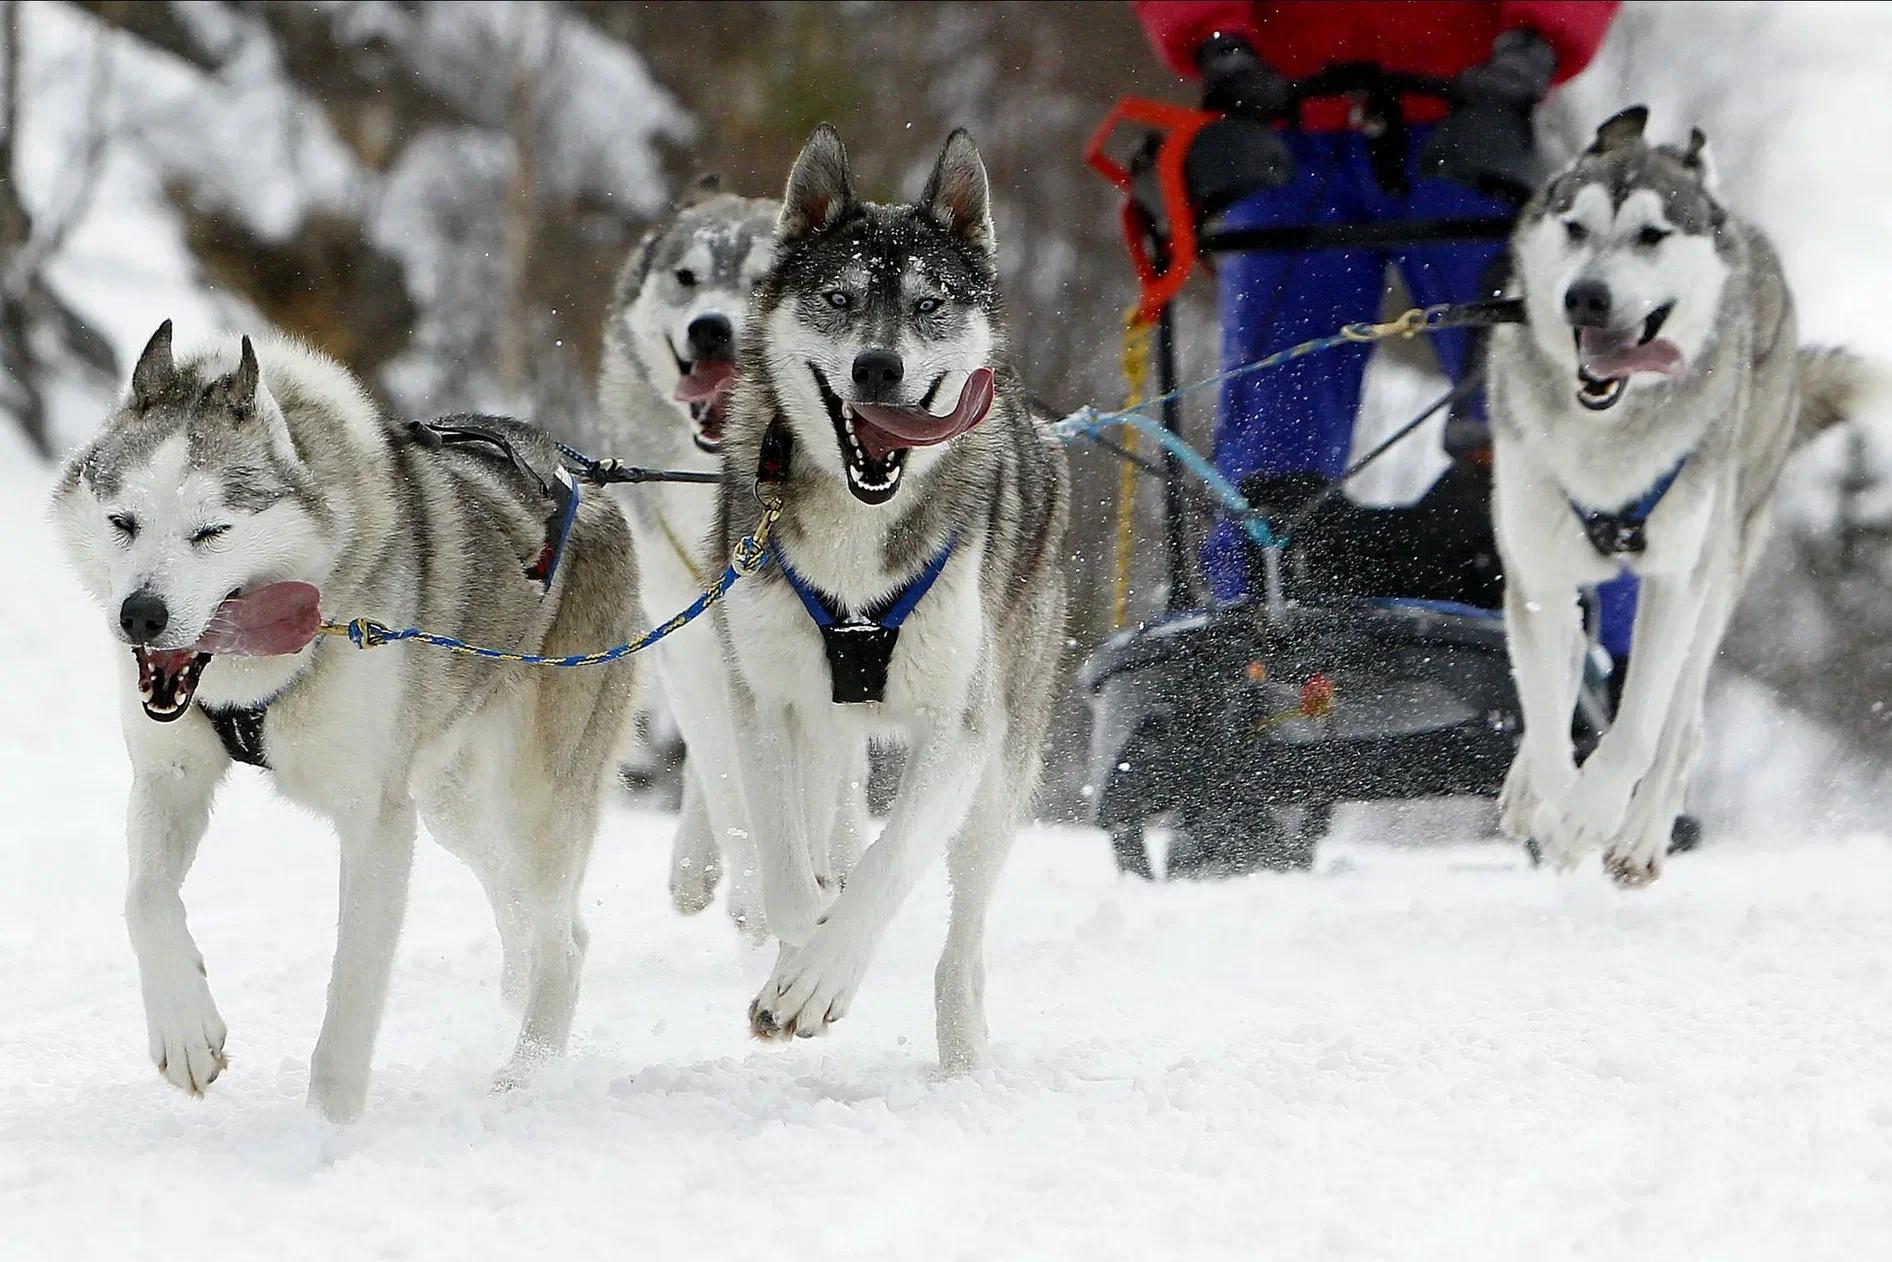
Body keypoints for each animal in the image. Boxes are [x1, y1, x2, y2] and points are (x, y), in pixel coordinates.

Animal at [51, 323, 639, 1112]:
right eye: (124, 521)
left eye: (211, 531)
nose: (140, 615)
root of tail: (593, 489)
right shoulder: (167, 777)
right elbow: (144, 900)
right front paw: (186, 1034)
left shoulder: (375, 819)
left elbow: (352, 988)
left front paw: (329, 1127)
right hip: (453, 806)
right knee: (530, 917)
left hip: (531, 801)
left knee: (564, 941)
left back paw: (529, 1072)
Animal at [711, 128, 1067, 1074]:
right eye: (839, 298)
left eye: (929, 302)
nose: (879, 365)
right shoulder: (761, 699)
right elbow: (790, 872)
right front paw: (804, 943)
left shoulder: (960, 727)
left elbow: (891, 862)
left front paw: (821, 976)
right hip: (825, 725)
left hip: (1002, 772)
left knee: (963, 932)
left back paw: (963, 1049)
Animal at [1490, 108, 1876, 885]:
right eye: (1574, 228)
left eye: (1651, 234)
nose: (1585, 295)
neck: (1606, 434)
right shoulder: (1536, 575)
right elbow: (1545, 719)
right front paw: (1556, 805)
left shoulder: (1676, 578)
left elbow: (1638, 728)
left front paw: (1592, 812)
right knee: (1570, 665)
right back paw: (1531, 794)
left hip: (1720, 565)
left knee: (1682, 723)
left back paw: (1637, 836)